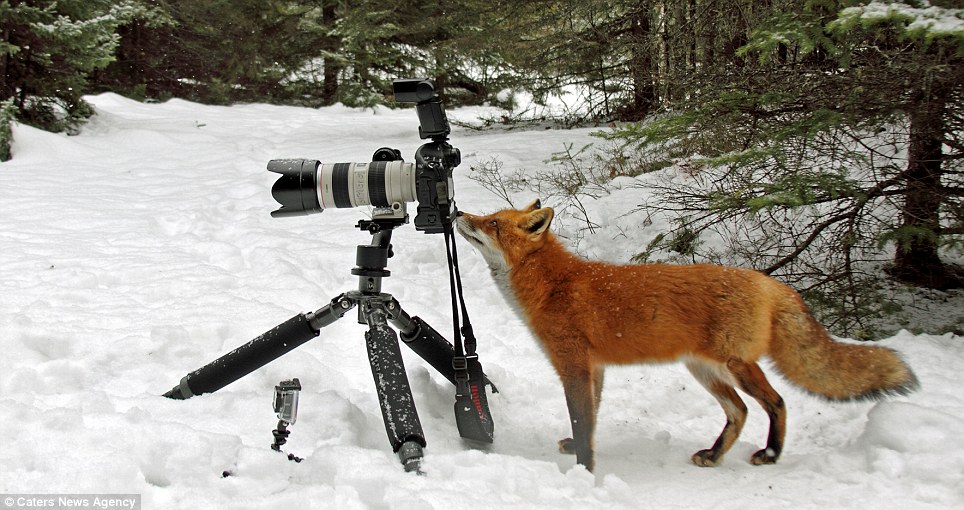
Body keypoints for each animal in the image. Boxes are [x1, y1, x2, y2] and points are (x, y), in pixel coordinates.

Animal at [455, 200, 919, 472]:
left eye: (492, 223)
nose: (459, 213)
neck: (554, 284)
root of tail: (772, 283)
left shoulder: (573, 366)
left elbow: (583, 418)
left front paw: (584, 471)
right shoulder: (594, 369)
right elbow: (589, 419)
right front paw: (579, 449)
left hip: (736, 366)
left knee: (776, 403)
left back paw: (770, 453)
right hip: (705, 372)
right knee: (740, 412)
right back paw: (714, 454)